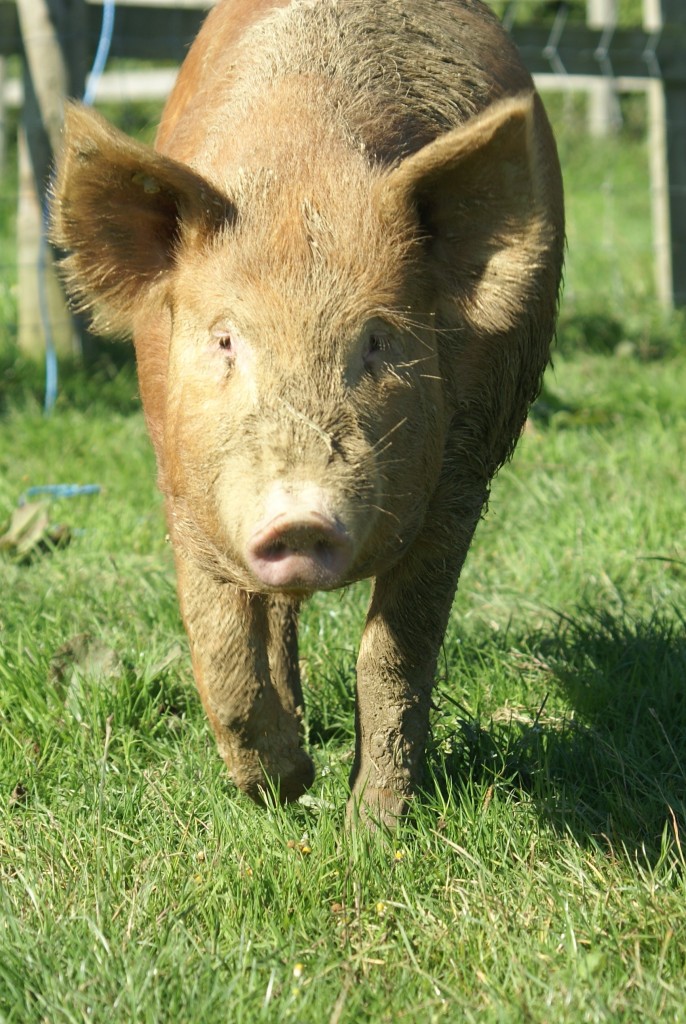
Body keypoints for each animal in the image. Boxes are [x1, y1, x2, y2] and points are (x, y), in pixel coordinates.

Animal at [51, 0, 564, 826]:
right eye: (225, 339)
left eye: (378, 340)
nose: (299, 514)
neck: (304, 172)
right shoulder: (181, 479)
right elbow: (221, 643)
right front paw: (281, 792)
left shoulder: (461, 479)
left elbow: (396, 654)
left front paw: (371, 827)